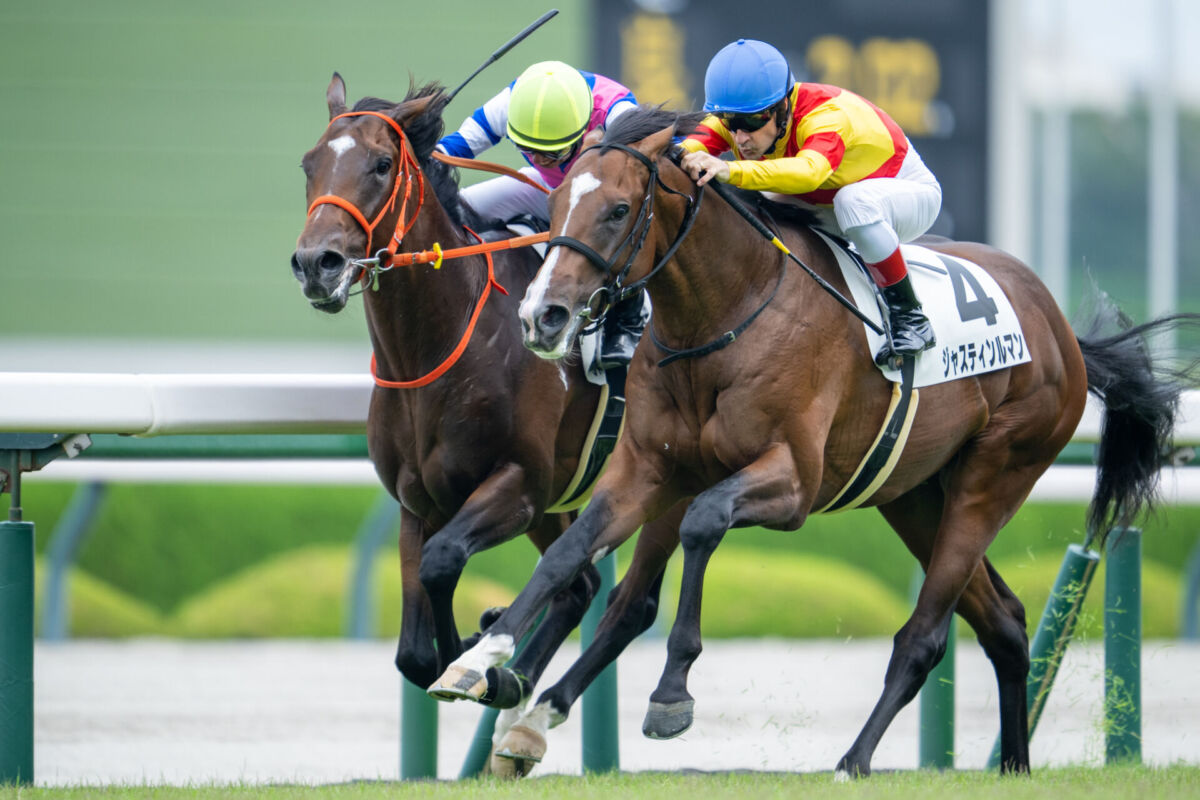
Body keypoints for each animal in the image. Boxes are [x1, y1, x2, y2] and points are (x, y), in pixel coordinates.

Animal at [289, 76, 685, 727]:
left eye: (380, 165)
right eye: (309, 163)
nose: (316, 264)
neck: (438, 348)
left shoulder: (519, 484)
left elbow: (444, 560)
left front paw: (475, 660)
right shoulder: (417, 499)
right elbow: (413, 647)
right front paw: (480, 657)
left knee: (631, 603)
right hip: (564, 503)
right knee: (579, 587)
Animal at [426, 106, 1196, 777]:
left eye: (617, 210)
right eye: (555, 206)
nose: (544, 316)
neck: (728, 309)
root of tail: (1060, 329)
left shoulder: (792, 481)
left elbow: (704, 522)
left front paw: (671, 695)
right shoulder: (645, 469)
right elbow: (568, 554)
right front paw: (477, 662)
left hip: (994, 476)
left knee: (924, 635)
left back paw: (854, 762)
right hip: (914, 496)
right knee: (1003, 621)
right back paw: (1012, 766)